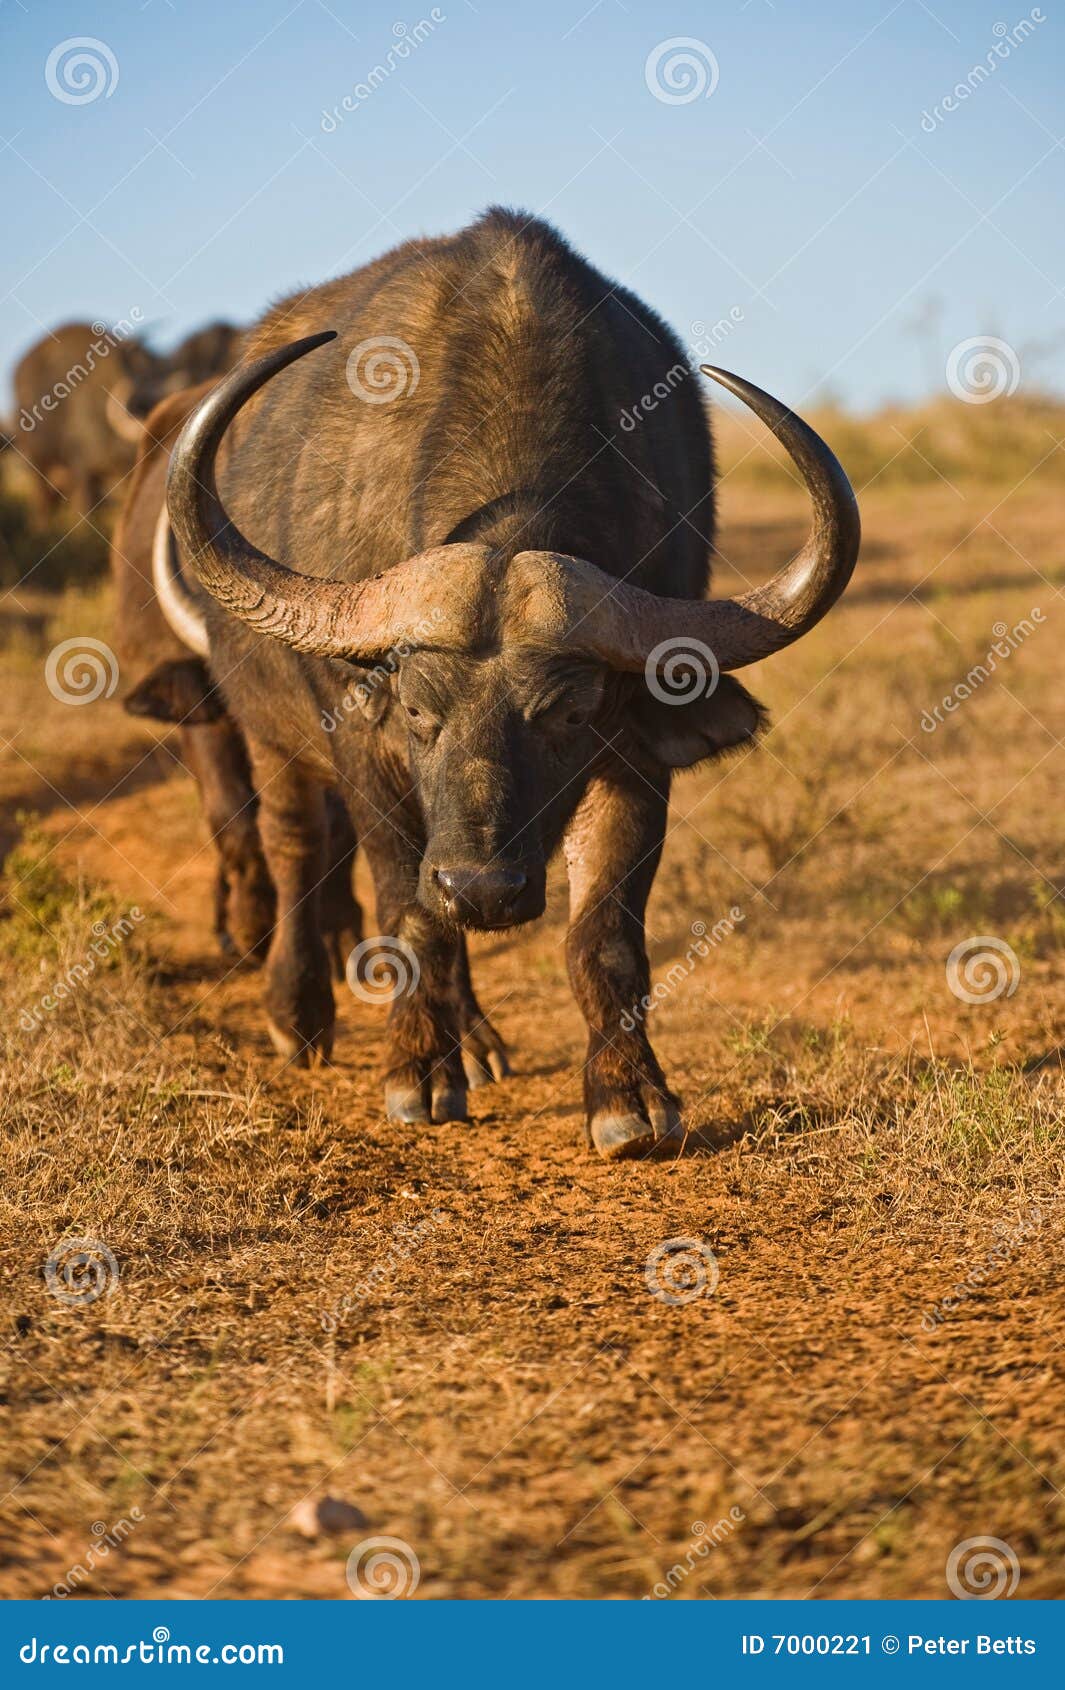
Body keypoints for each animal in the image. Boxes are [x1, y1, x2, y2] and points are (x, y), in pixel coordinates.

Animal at [154, 208, 859, 1159]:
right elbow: (406, 906)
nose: (484, 889)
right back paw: (299, 1014)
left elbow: (604, 931)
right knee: (298, 847)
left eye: (567, 713)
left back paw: (480, 1039)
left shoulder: (633, 756)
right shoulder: (369, 760)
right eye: (417, 709)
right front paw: (417, 1070)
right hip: (269, 733)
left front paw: (629, 1094)